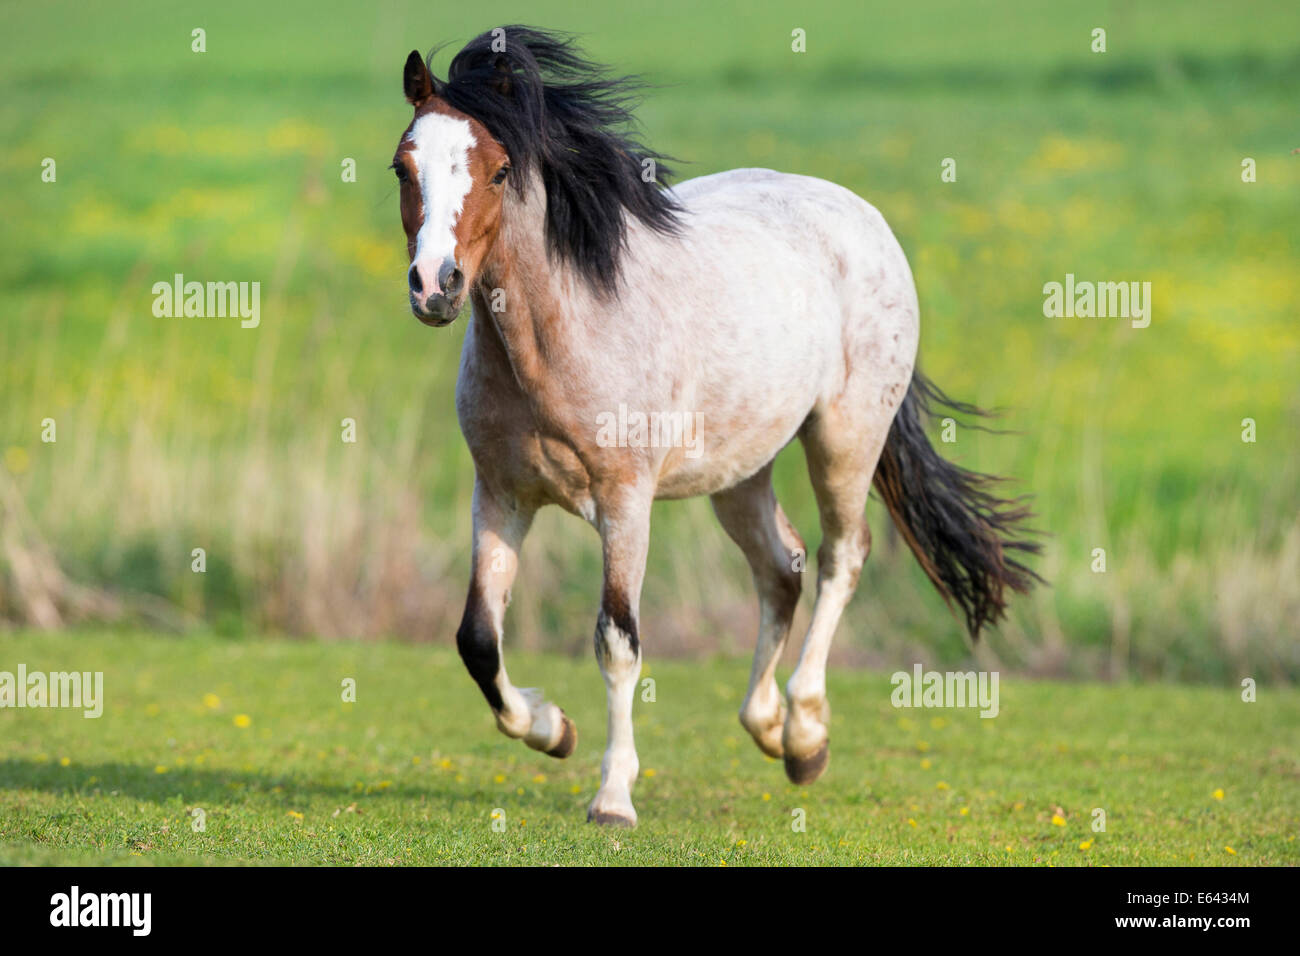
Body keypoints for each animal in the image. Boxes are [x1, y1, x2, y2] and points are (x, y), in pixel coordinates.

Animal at [390, 26, 1041, 826]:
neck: (557, 337)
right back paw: (768, 727)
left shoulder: (625, 502)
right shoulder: (502, 494)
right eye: (403, 165)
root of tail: (862, 217)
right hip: (740, 471)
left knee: (841, 557)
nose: (435, 286)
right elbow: (478, 639)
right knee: (782, 569)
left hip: (845, 439)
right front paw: (552, 728)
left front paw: (613, 797)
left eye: (500, 169)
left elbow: (618, 641)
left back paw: (805, 734)